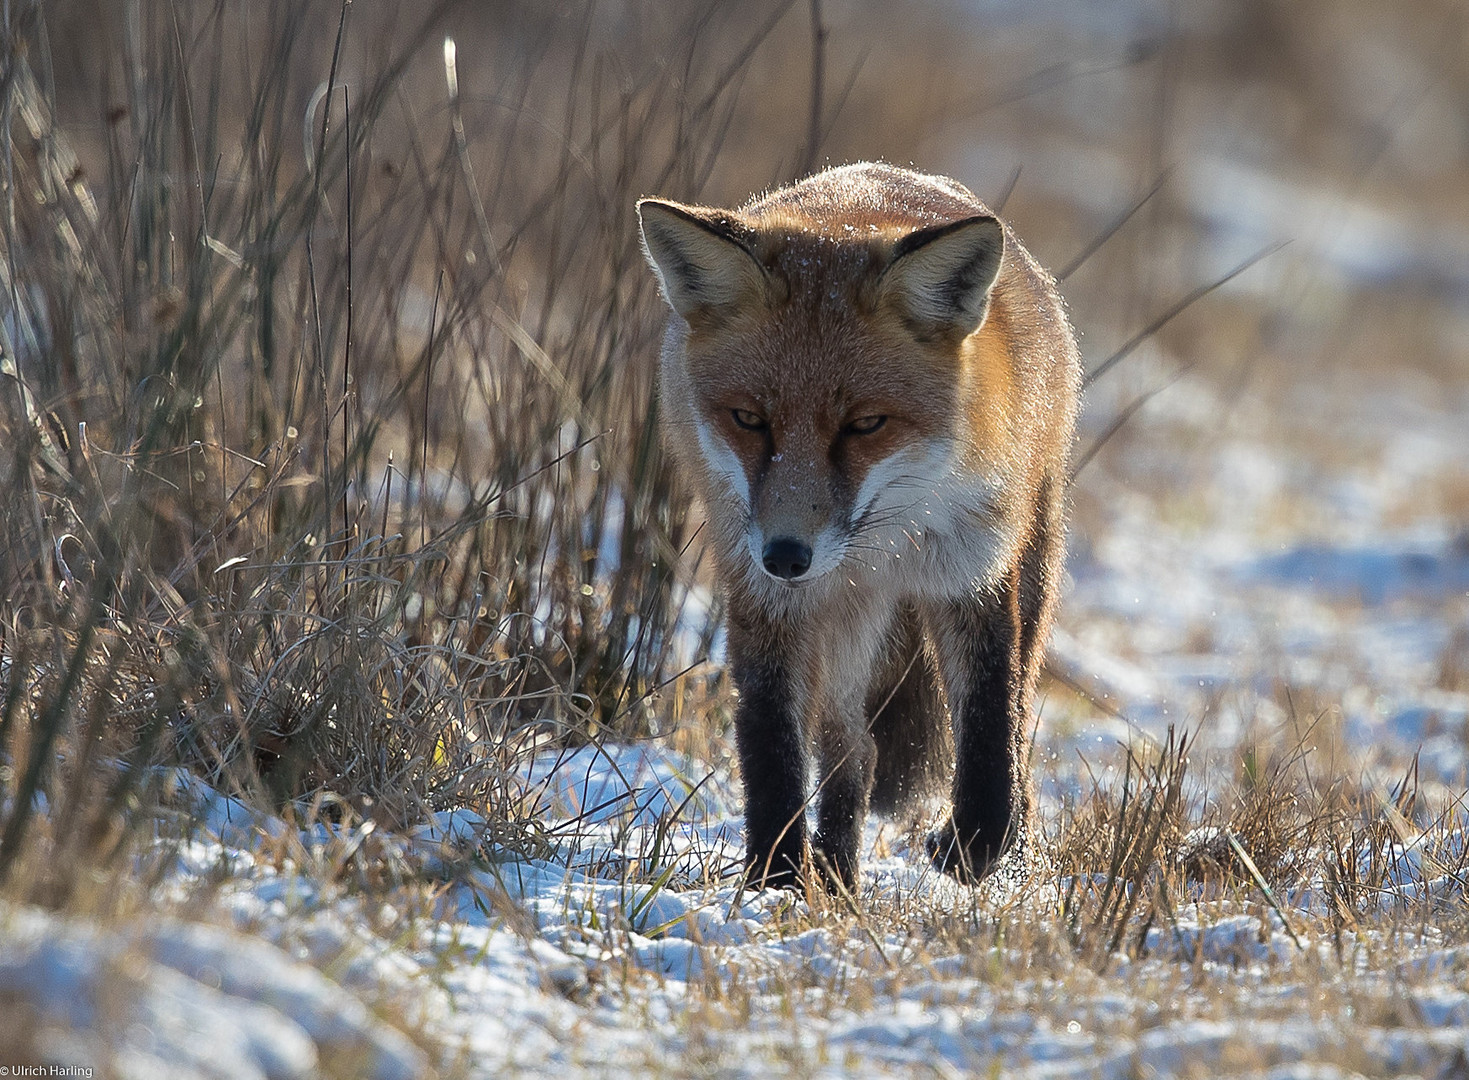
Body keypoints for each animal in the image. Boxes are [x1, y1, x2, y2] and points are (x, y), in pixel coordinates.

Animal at [637, 158, 1087, 887]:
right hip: (843, 625)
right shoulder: (762, 592)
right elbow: (770, 740)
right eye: (749, 419)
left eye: (865, 424)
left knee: (1015, 706)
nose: (787, 555)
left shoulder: (969, 569)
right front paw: (775, 878)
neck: (878, 543)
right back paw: (836, 869)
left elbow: (991, 723)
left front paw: (979, 846)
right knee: (853, 747)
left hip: (1032, 559)